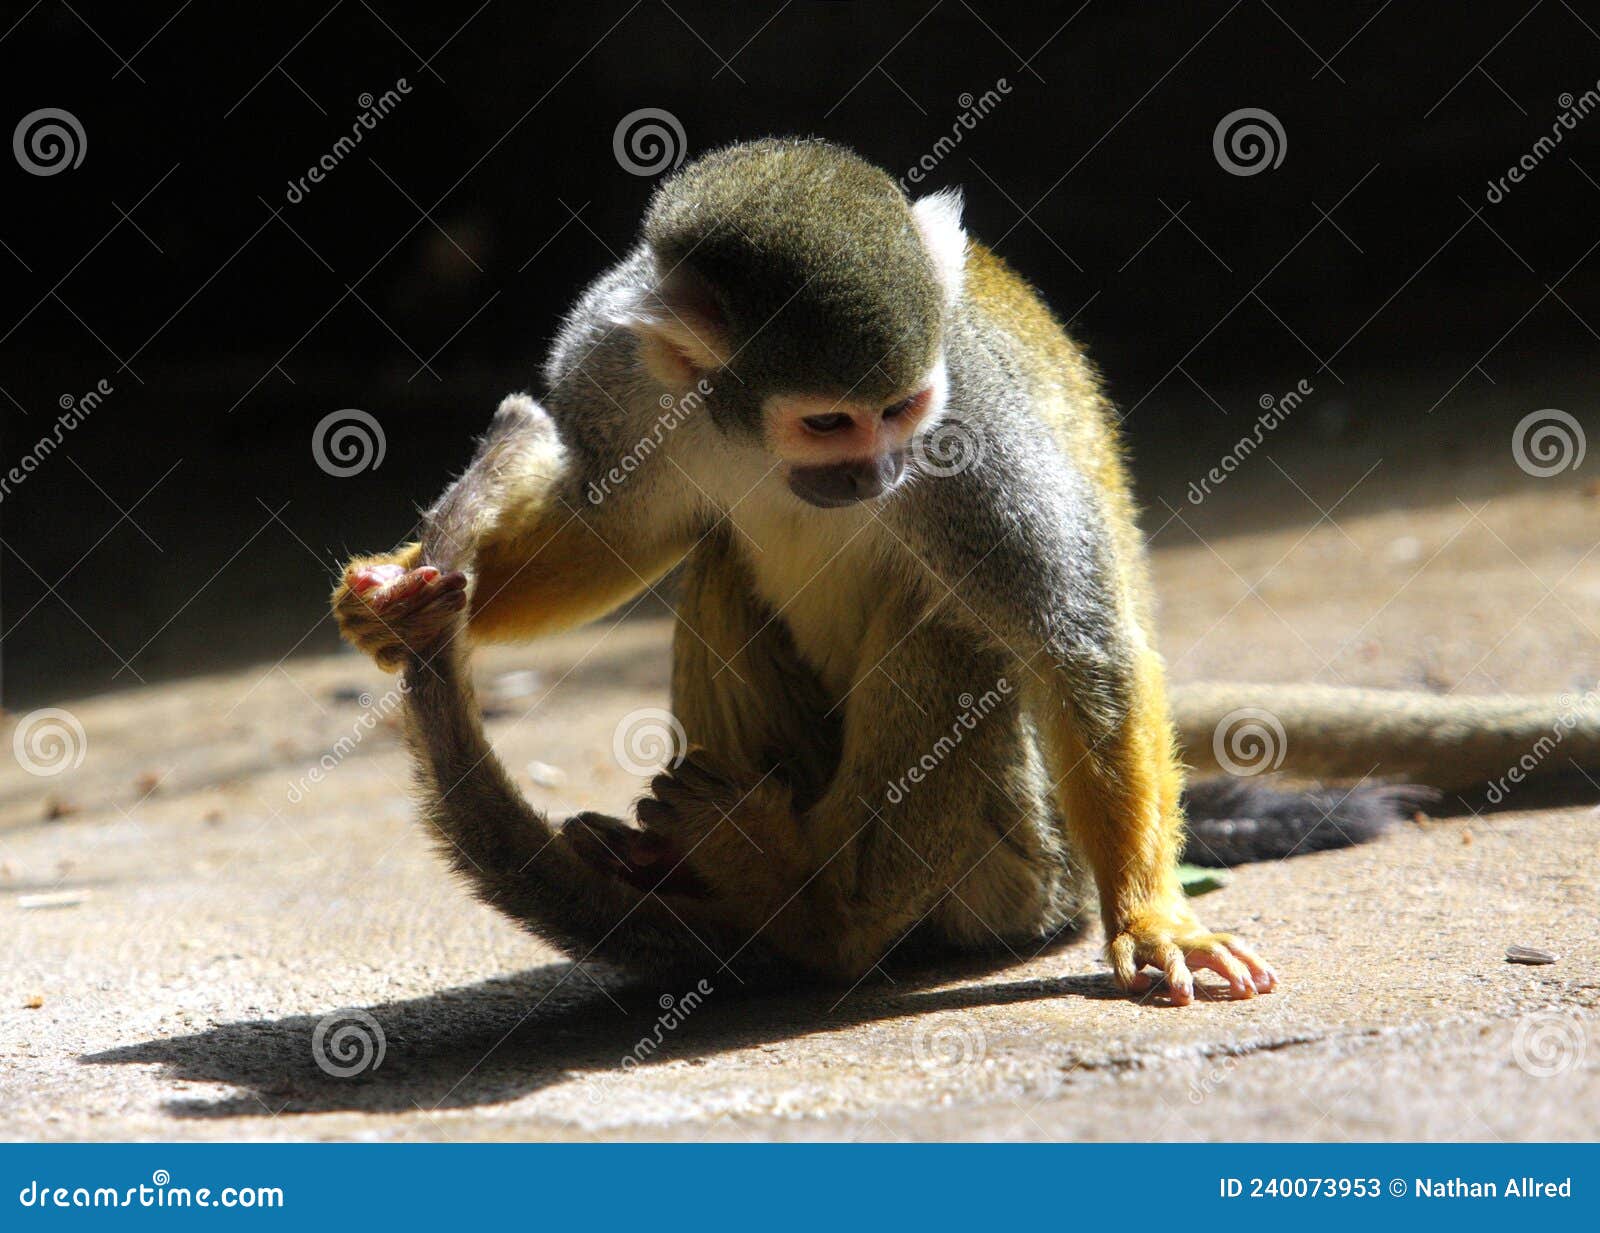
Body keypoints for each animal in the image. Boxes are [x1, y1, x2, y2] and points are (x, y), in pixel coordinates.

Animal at [330, 139, 1600, 1003]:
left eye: (903, 410)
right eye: (829, 422)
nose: (880, 469)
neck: (749, 434)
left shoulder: (969, 428)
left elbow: (1069, 641)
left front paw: (1153, 920)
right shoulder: (609, 358)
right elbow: (612, 530)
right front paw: (394, 601)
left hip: (1020, 869)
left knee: (955, 625)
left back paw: (814, 918)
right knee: (721, 562)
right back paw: (719, 885)